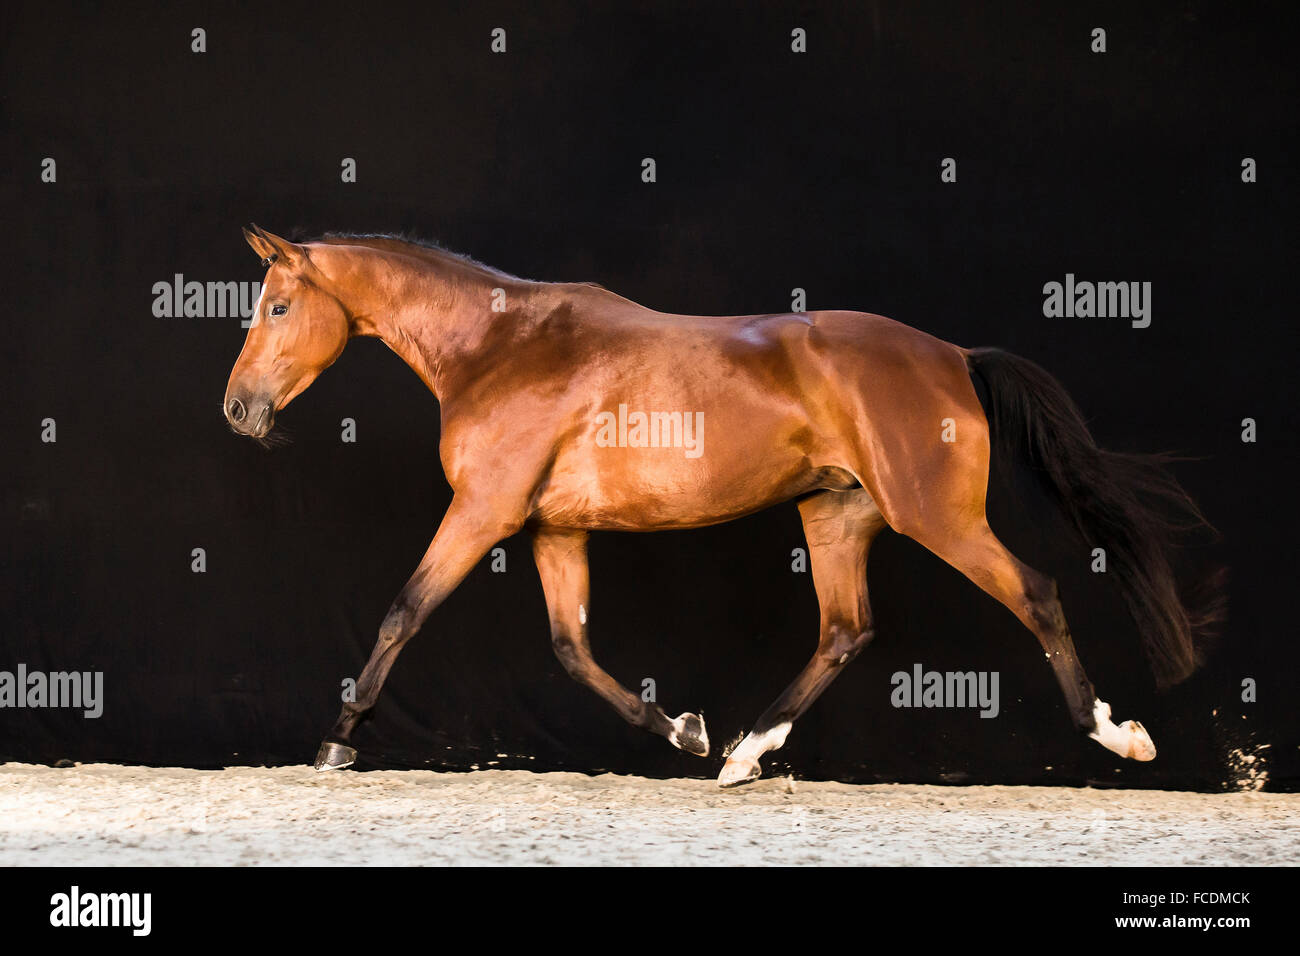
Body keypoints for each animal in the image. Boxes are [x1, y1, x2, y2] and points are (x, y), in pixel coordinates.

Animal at [223, 224, 1220, 787]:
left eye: (277, 307)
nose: (237, 410)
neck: (502, 346)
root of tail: (953, 357)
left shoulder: (484, 512)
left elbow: (404, 612)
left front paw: (337, 742)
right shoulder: (554, 528)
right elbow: (572, 650)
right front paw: (687, 732)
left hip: (936, 518)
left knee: (1036, 594)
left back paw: (1120, 737)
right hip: (836, 516)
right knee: (844, 631)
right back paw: (742, 755)